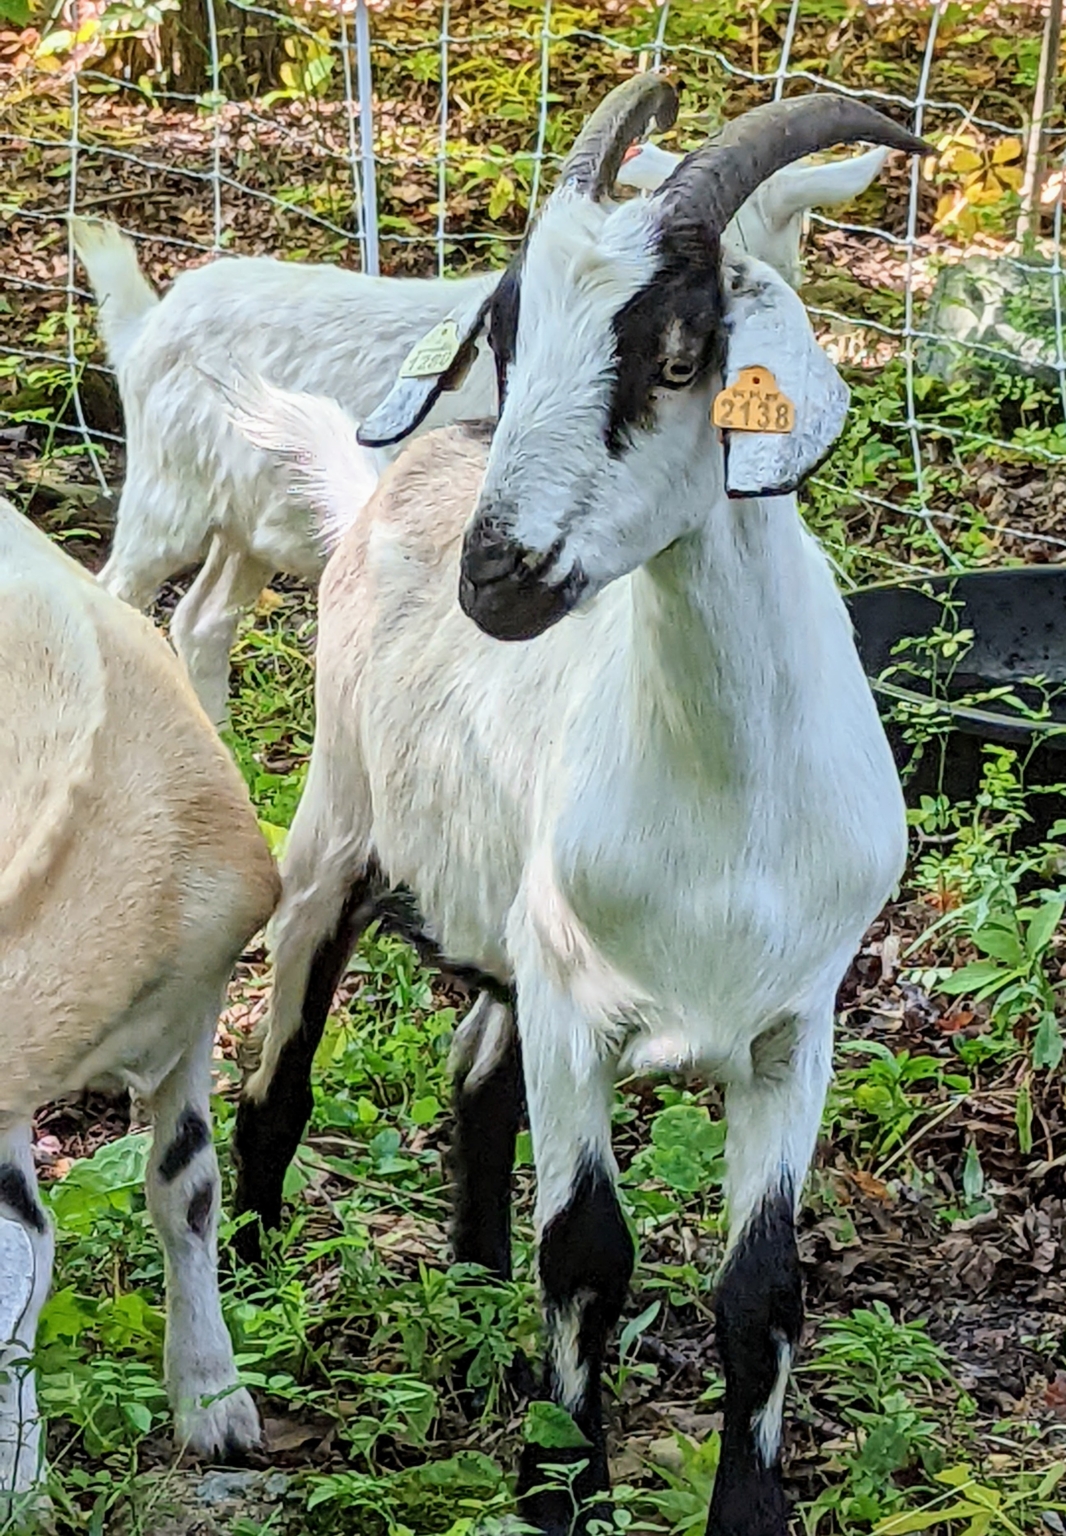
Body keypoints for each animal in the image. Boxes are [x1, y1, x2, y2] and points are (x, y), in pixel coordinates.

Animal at [228, 76, 920, 1536]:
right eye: (505, 326)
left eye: (679, 352)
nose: (494, 575)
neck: (726, 816)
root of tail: (391, 480)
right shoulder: (575, 1004)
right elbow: (589, 1253)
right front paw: (562, 1488)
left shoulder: (793, 1025)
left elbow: (762, 1292)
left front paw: (746, 1508)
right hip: (336, 830)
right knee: (281, 1078)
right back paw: (252, 1300)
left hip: (504, 916)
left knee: (474, 1081)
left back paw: (473, 1290)